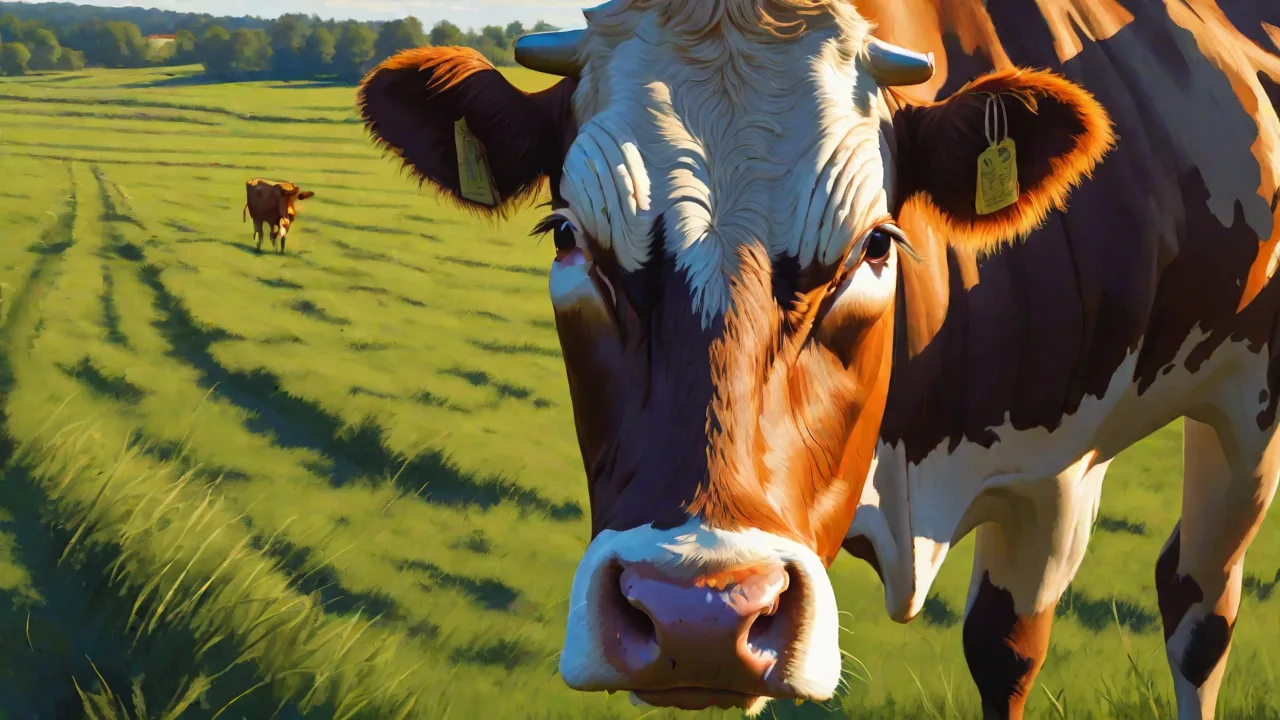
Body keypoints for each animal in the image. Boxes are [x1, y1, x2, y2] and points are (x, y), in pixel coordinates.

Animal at [355, 1, 1280, 717]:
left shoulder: (1055, 476)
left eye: (876, 244)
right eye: (567, 237)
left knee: (1199, 604)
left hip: (1249, 401)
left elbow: (1005, 650)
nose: (695, 613)